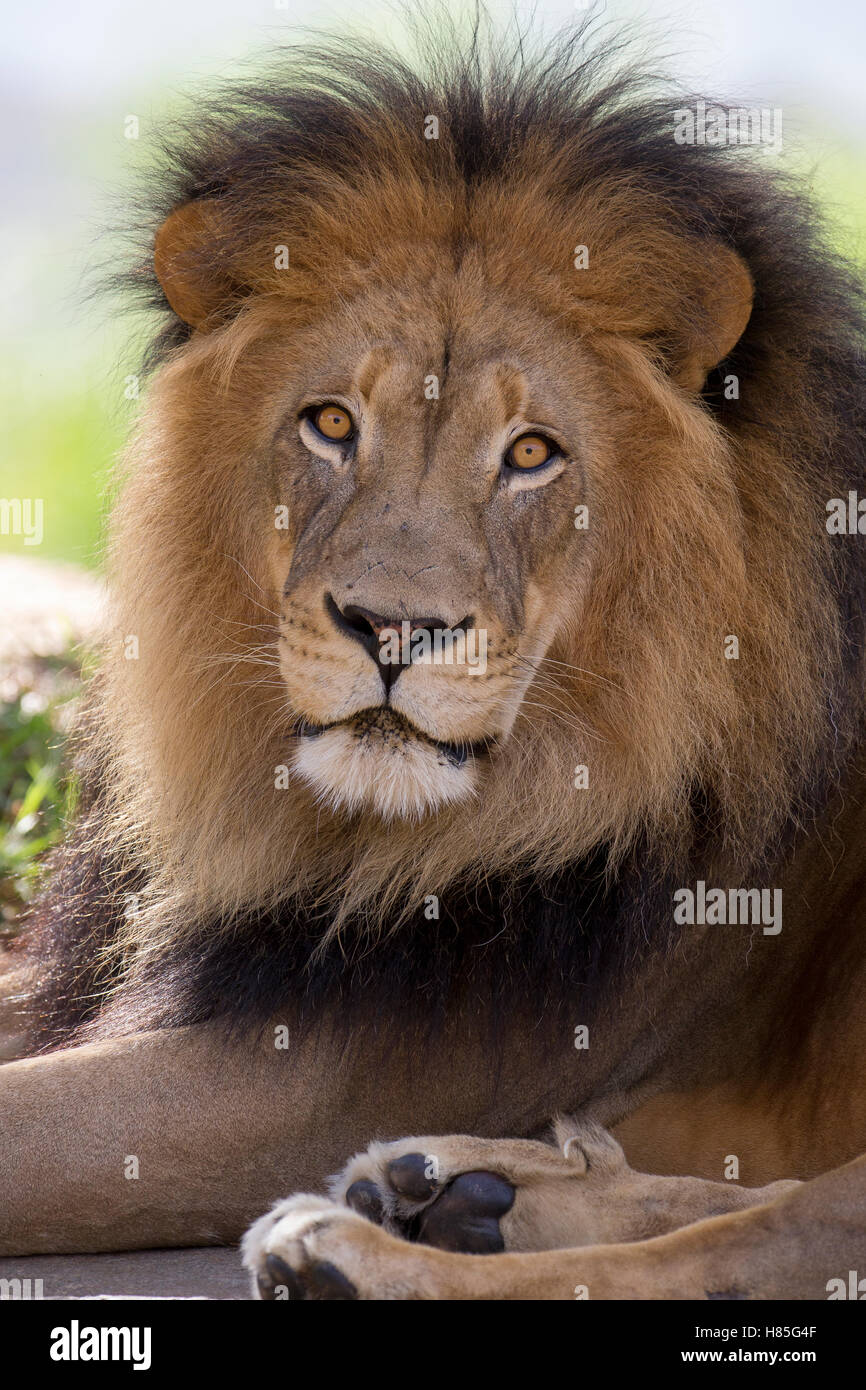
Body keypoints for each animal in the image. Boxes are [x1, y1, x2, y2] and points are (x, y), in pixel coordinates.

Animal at [2, 21, 866, 1299]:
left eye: (530, 454)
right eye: (329, 424)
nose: (393, 630)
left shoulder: (345, 1068)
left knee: (739, 1247)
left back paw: (360, 1247)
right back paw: (454, 1190)